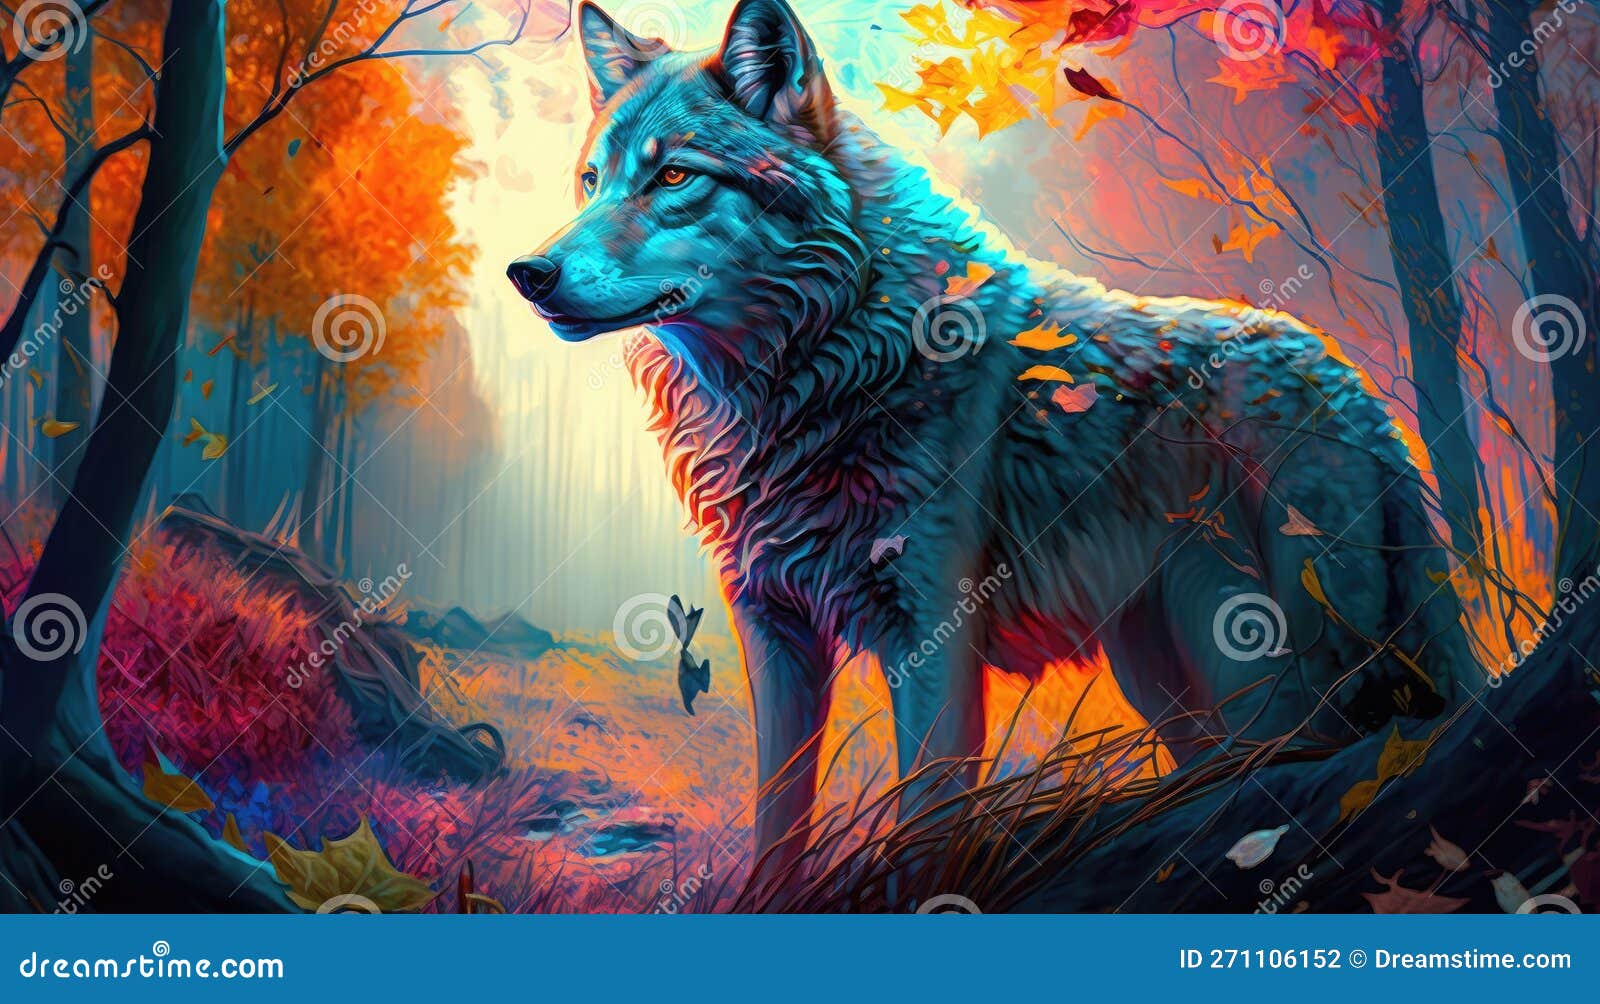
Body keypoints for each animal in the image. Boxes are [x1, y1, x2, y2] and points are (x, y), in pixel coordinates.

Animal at [508, 0, 1471, 865]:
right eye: (592, 181)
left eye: (674, 178)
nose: (528, 271)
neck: (823, 367)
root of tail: (1362, 395)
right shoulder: (774, 634)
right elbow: (777, 819)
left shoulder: (930, 631)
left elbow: (926, 823)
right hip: (1169, 674)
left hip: (1277, 656)